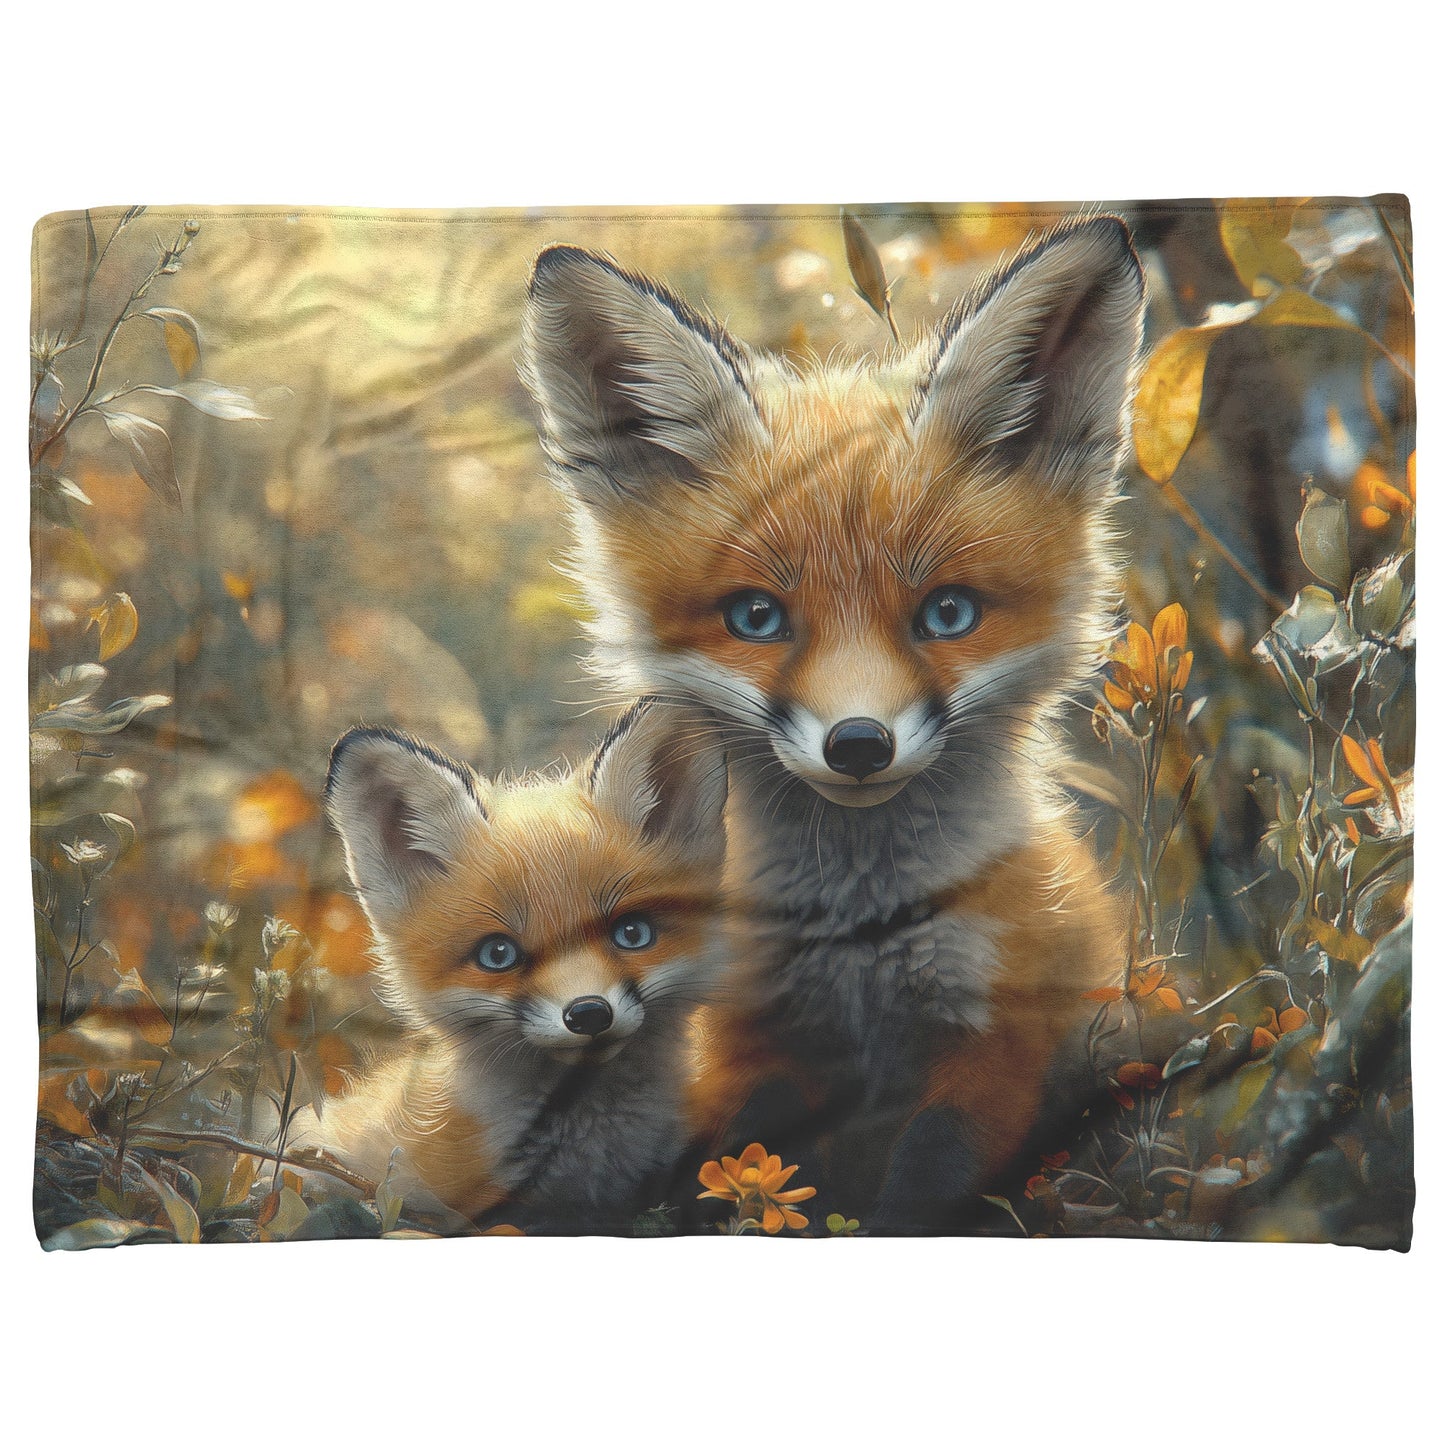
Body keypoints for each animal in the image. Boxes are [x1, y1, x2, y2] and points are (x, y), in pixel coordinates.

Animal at [521, 215, 1146, 1230]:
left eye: (946, 614)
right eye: (756, 617)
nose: (858, 744)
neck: (861, 949)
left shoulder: (996, 1049)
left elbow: (923, 1189)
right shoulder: (750, 1044)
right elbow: (728, 1168)